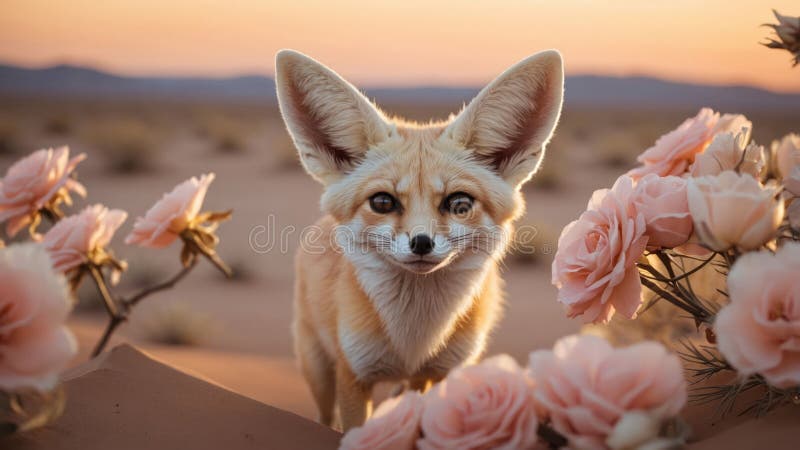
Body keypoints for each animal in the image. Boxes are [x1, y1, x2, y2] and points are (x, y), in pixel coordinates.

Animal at [275, 49, 564, 431]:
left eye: (459, 204)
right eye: (383, 202)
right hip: (317, 369)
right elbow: (354, 431)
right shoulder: (354, 374)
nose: (422, 242)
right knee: (324, 414)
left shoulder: (438, 373)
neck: (413, 340)